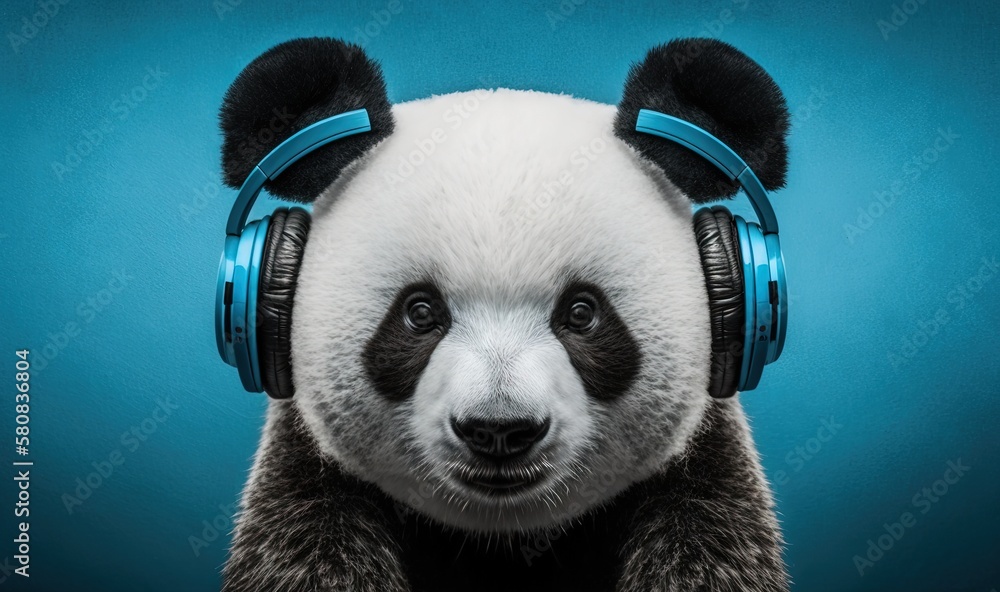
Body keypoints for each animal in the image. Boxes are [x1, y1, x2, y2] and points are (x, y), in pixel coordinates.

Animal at [218, 37, 791, 592]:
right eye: (419, 313)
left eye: (581, 313)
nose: (498, 429)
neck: (504, 541)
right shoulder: (304, 493)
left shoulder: (706, 488)